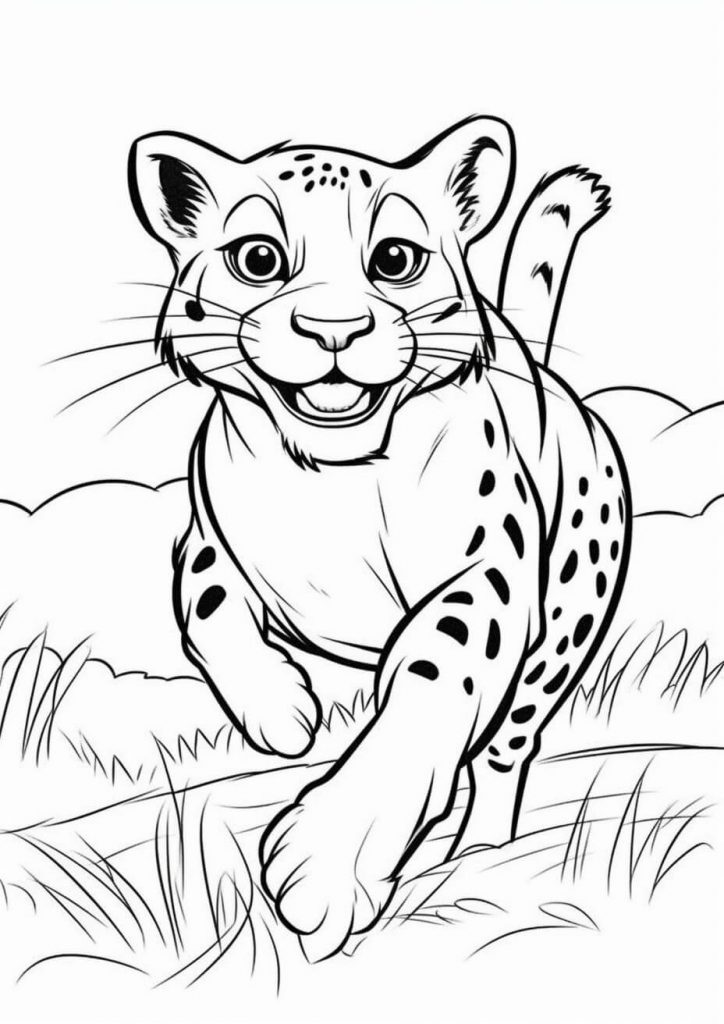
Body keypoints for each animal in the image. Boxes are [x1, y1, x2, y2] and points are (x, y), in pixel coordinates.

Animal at [128, 116, 631, 962]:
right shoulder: (207, 536)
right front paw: (281, 714)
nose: (333, 330)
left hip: (565, 623)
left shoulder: (486, 573)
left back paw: (477, 853)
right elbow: (206, 606)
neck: (332, 483)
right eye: (258, 258)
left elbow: (435, 671)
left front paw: (327, 865)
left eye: (395, 259)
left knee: (507, 746)